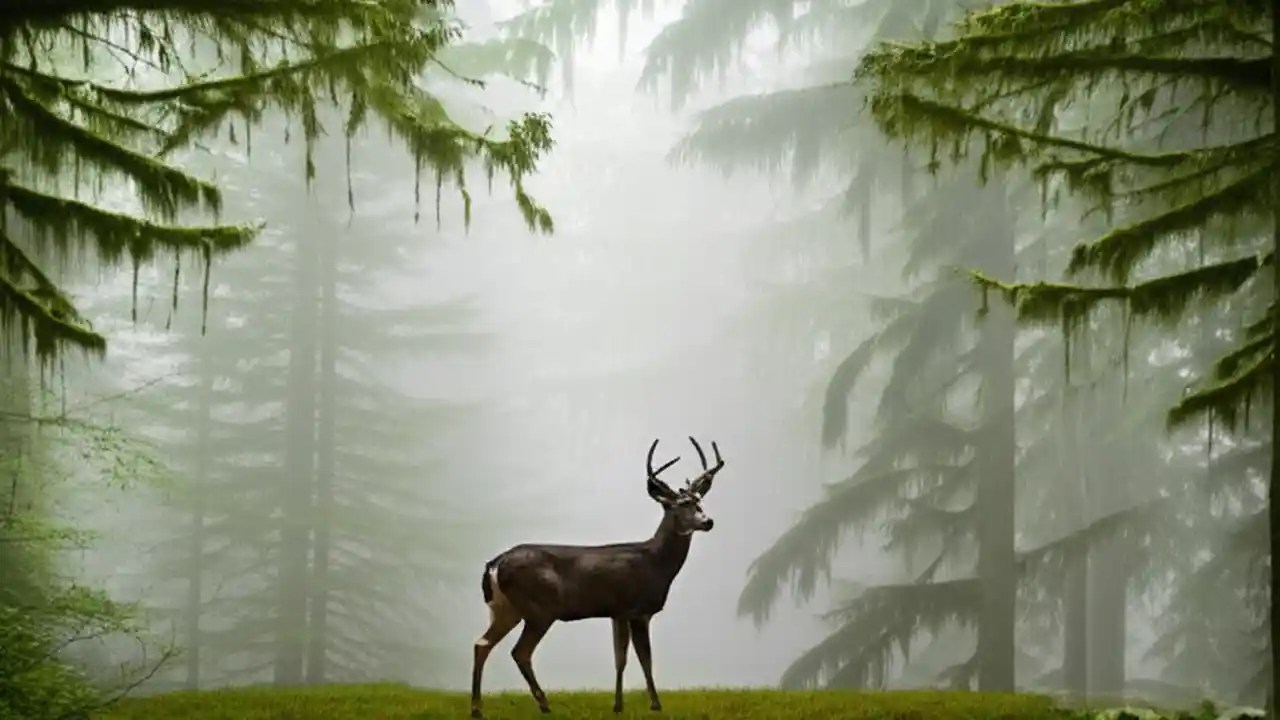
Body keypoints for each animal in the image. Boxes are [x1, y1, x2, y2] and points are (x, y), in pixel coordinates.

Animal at [469, 436, 726, 718]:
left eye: (700, 501)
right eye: (680, 505)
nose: (708, 521)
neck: (655, 562)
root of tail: (495, 563)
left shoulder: (617, 613)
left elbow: (620, 659)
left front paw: (618, 705)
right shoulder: (636, 609)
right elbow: (643, 659)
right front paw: (655, 705)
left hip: (506, 609)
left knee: (482, 644)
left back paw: (477, 708)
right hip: (539, 609)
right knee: (519, 652)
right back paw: (544, 704)